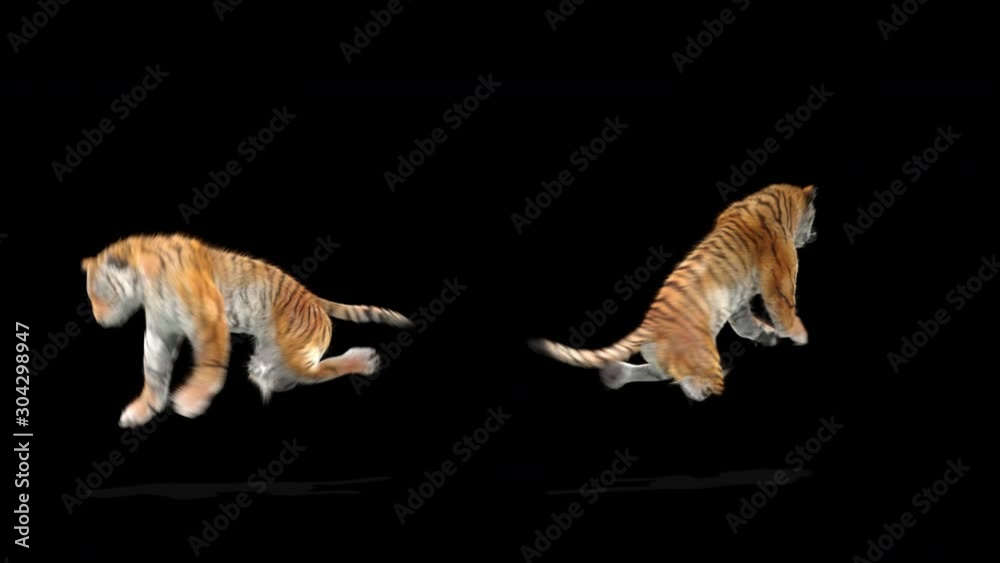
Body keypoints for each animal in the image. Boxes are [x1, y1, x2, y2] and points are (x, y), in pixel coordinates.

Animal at [80, 233, 413, 427]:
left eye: (98, 294)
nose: (99, 320)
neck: (145, 286)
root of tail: (314, 298)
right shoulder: (161, 331)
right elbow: (154, 371)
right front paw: (142, 410)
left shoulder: (209, 320)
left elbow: (209, 365)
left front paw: (191, 401)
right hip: (271, 354)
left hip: (294, 352)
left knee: (319, 371)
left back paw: (366, 360)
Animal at [528, 183, 818, 402]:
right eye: (812, 217)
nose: (810, 237)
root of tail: (648, 324)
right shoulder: (779, 278)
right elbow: (784, 310)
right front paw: (799, 335)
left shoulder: (738, 302)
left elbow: (745, 325)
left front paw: (766, 335)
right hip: (704, 358)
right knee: (696, 382)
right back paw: (706, 387)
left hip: (663, 357)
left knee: (658, 373)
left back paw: (614, 375)